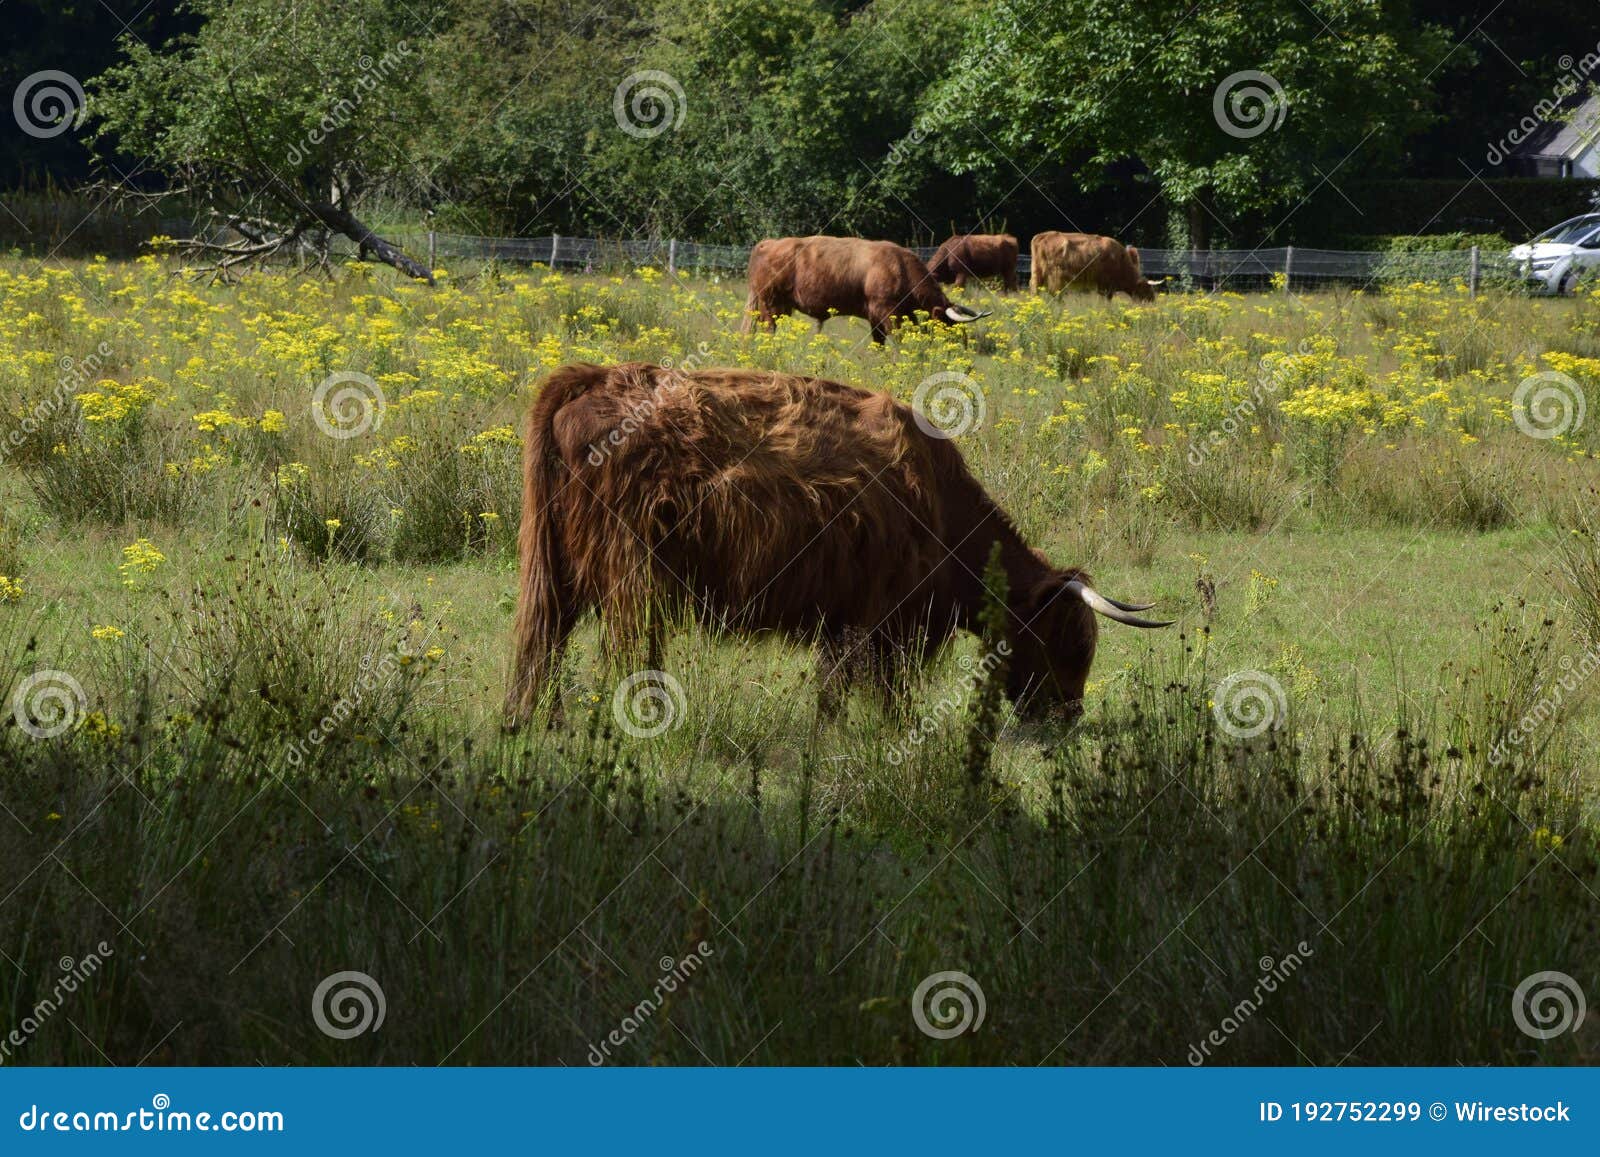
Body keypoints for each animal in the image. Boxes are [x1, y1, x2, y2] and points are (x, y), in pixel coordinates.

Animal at [506, 362, 1171, 725]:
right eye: (1068, 640)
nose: (1068, 716)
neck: (942, 505)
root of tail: (590, 379)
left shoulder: (845, 614)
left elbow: (832, 687)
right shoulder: (888, 619)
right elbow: (882, 688)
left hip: (552, 566)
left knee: (543, 638)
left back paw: (532, 722)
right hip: (632, 577)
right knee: (625, 650)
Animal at [743, 235, 988, 345]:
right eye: (948, 325)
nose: (963, 346)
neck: (900, 267)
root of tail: (768, 243)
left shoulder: (878, 316)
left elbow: (879, 342)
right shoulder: (887, 311)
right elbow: (896, 338)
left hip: (778, 306)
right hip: (770, 304)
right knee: (768, 328)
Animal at [1030, 231, 1163, 302]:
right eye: (1147, 288)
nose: (1153, 300)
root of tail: (1043, 235)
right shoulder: (1105, 286)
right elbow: (1106, 300)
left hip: (1038, 271)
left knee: (1035, 288)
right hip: (1055, 275)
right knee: (1055, 293)